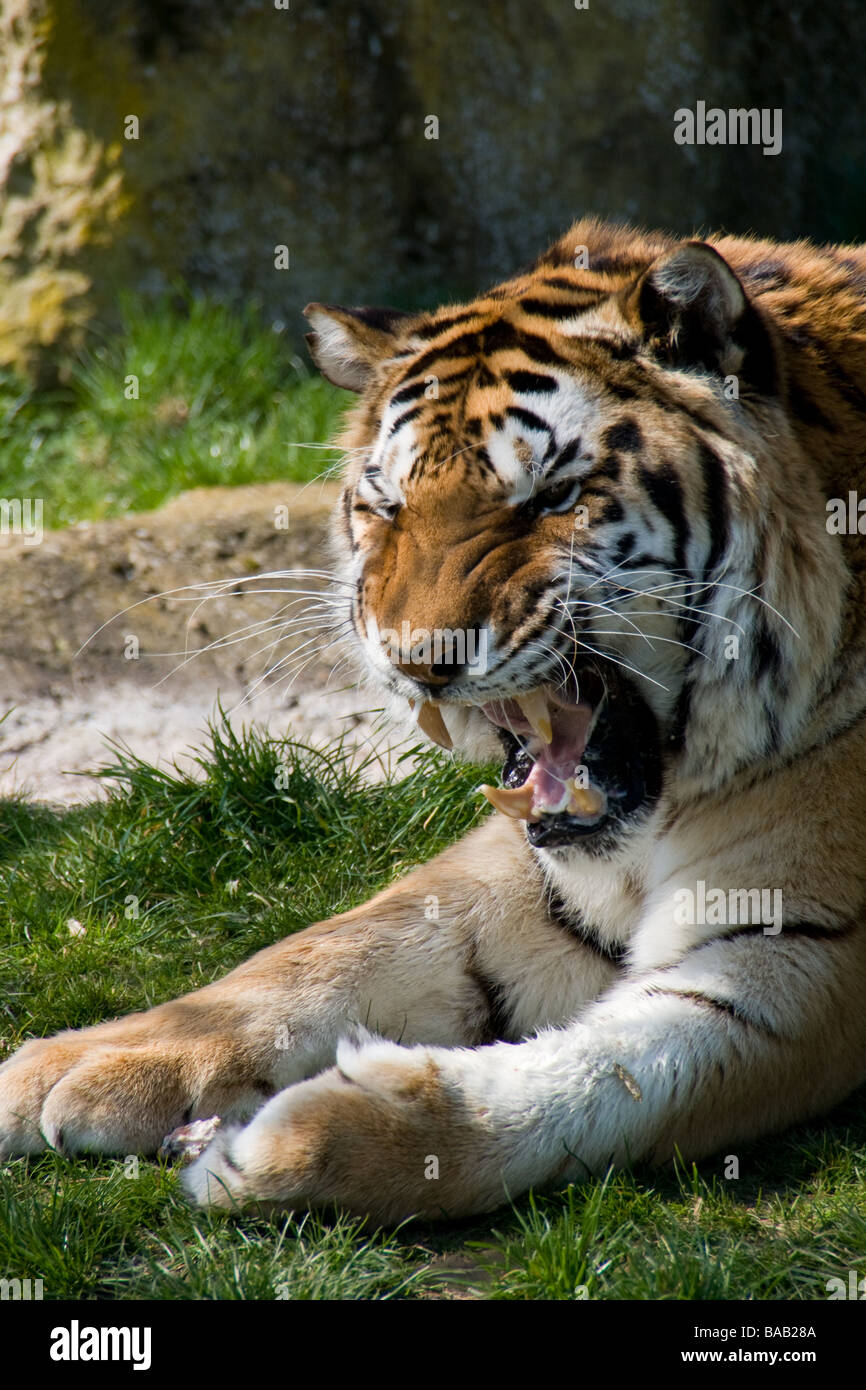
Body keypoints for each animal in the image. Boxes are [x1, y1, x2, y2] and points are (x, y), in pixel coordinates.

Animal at [2, 216, 866, 1224]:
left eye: (553, 498)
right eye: (387, 505)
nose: (418, 658)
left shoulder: (802, 952)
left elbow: (610, 1081)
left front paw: (302, 1142)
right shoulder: (522, 870)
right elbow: (325, 951)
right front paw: (82, 1061)